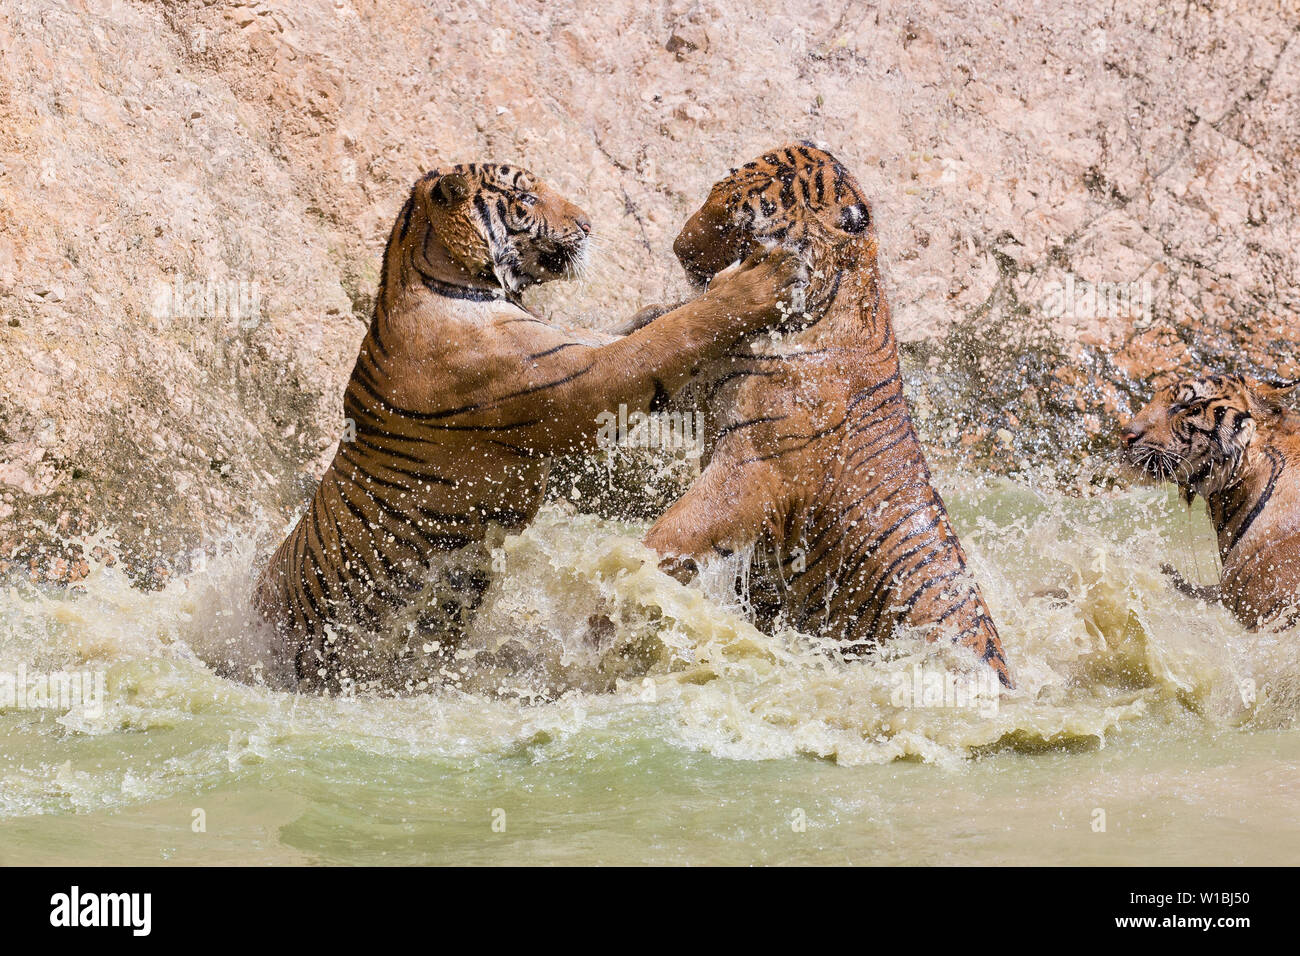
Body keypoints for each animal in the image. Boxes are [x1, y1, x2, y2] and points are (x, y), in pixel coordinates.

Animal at [252, 162, 807, 692]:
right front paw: (767, 278)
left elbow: (650, 318)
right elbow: (668, 336)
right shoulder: (583, 383)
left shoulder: (575, 340)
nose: (588, 223)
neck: (440, 274)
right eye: (527, 197)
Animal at [621, 144, 1012, 687]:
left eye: (743, 222)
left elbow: (681, 528)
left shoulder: (753, 467)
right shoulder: (706, 380)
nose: (680, 251)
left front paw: (627, 571)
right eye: (712, 196)